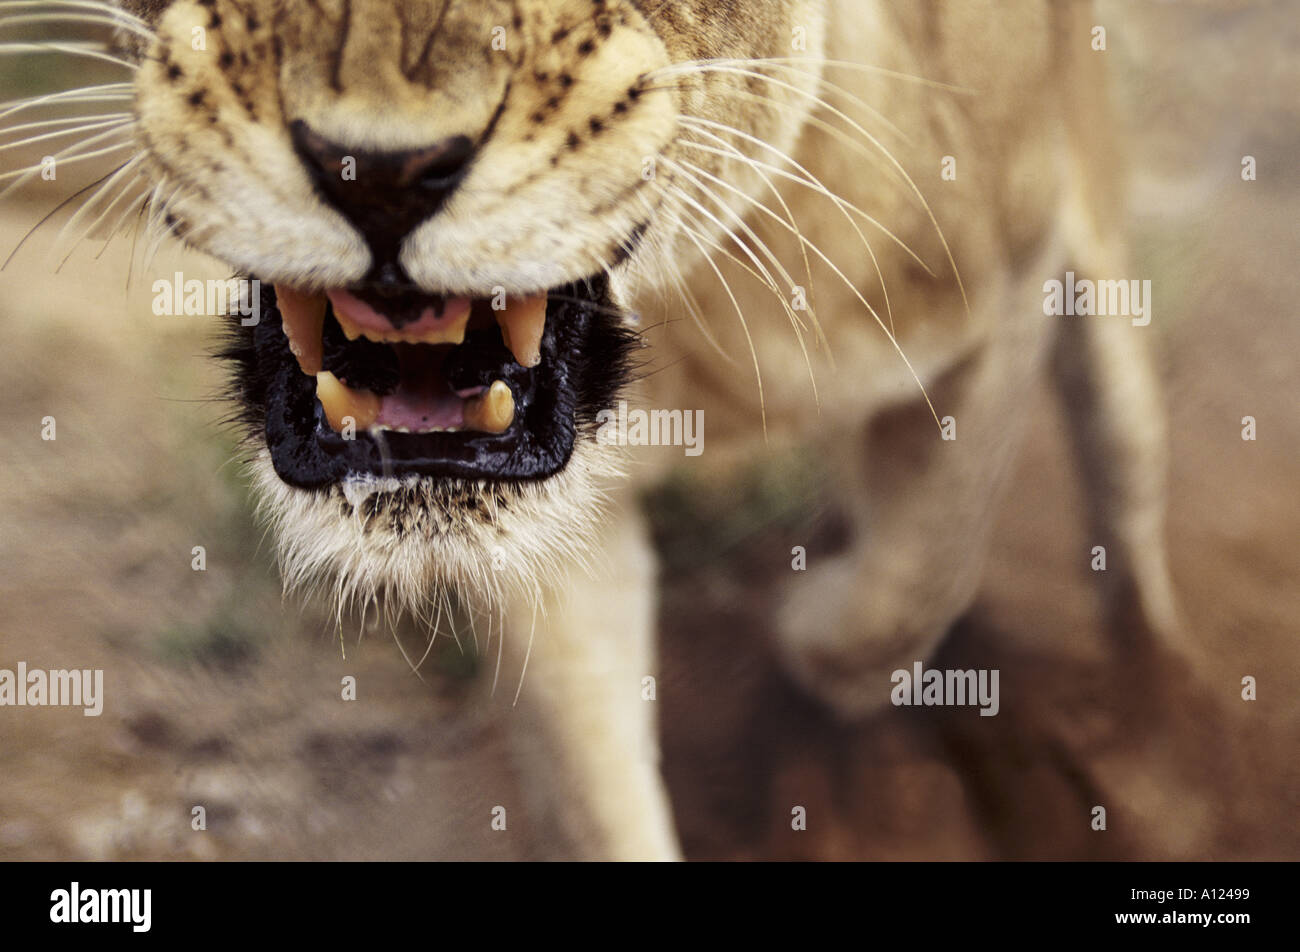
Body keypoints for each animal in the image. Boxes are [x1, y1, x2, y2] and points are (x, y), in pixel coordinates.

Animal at [6, 0, 1180, 859]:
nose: (374, 173)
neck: (696, 304)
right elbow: (592, 780)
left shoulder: (1012, 285)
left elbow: (912, 582)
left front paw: (812, 623)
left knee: (1124, 469)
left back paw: (1151, 691)